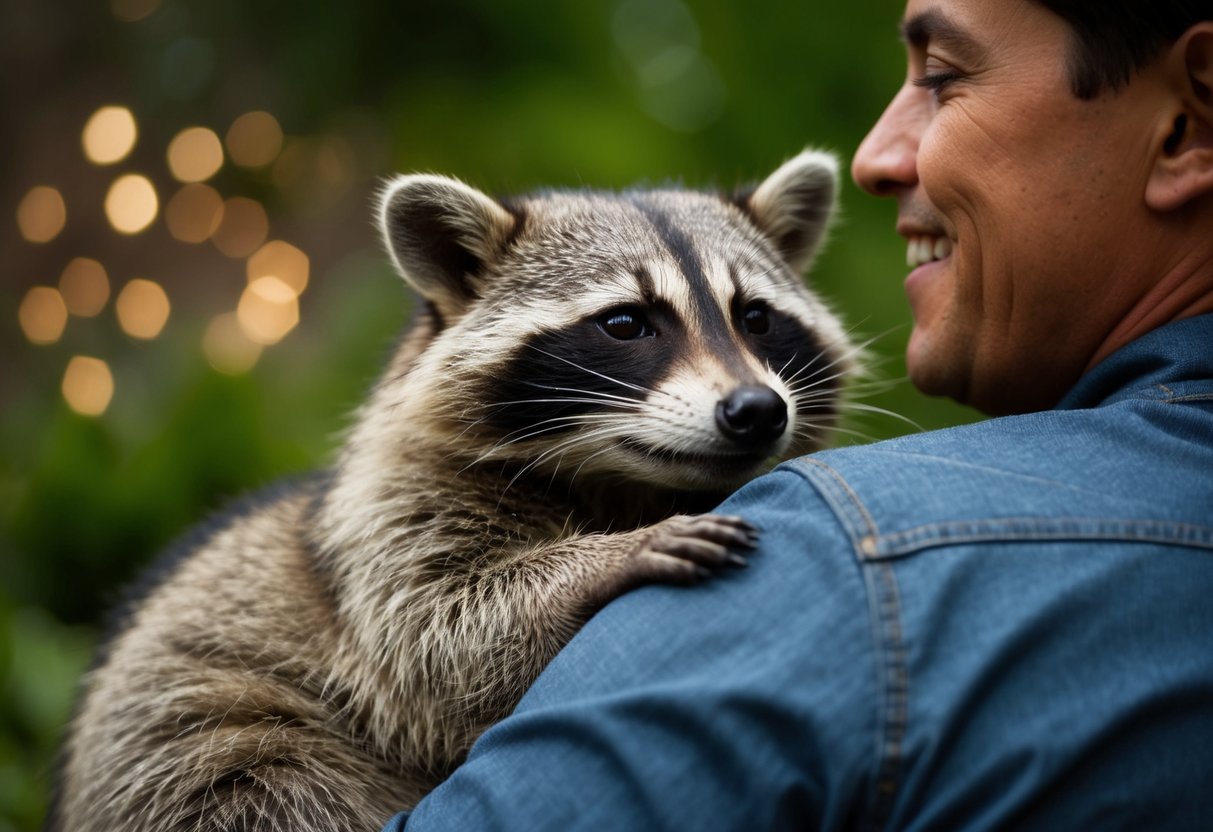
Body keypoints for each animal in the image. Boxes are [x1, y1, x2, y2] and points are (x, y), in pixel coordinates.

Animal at [49, 150, 854, 831]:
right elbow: (438, 645)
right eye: (625, 323)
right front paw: (603, 559)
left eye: (755, 316)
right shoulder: (382, 526)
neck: (627, 479)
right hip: (211, 750)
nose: (756, 410)